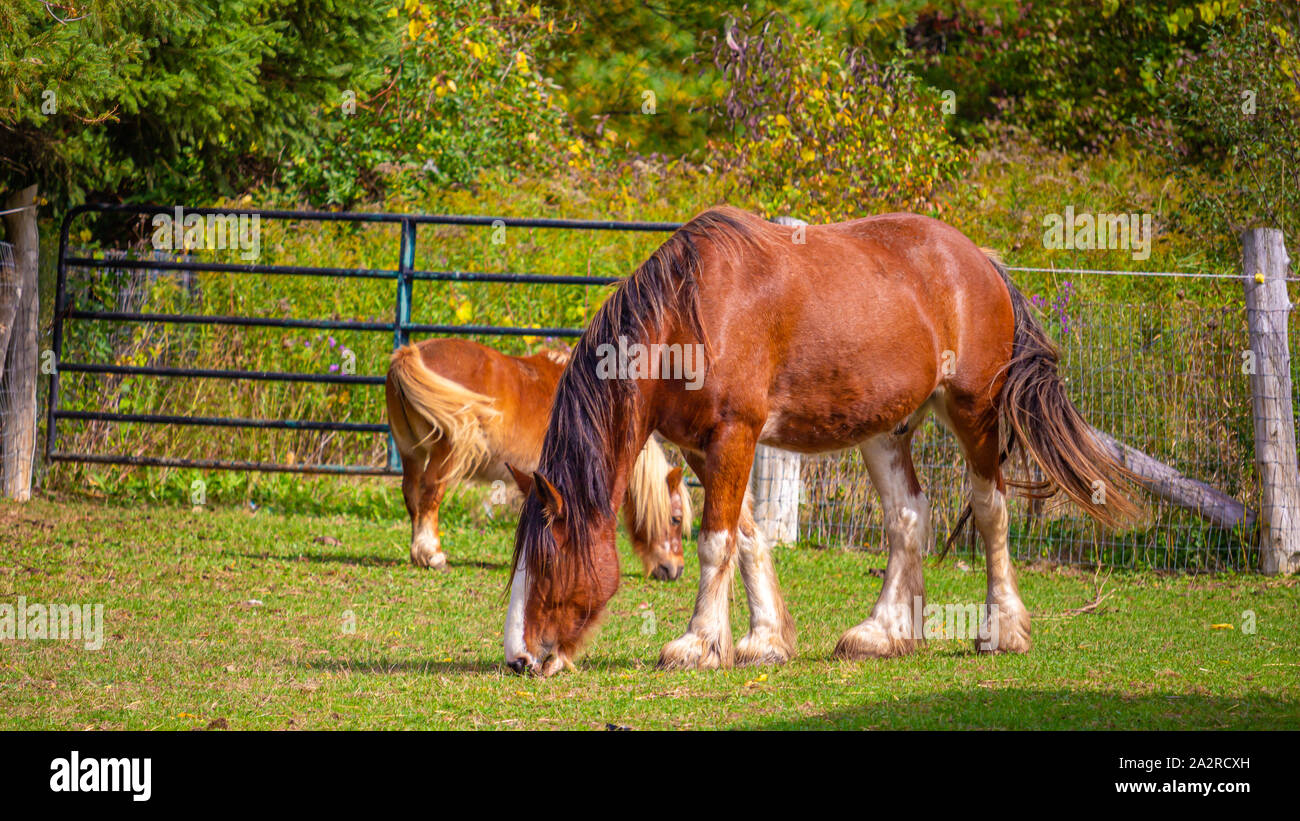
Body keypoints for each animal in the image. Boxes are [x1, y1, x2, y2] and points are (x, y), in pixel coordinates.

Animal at [385, 337, 691, 578]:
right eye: (676, 519)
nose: (675, 570)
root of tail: (408, 355)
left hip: (410, 453)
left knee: (411, 493)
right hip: (444, 454)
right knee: (430, 495)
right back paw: (432, 554)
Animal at [503, 206, 1139, 676]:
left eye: (548, 556)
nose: (519, 658)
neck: (687, 317)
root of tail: (979, 260)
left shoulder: (734, 433)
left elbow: (715, 542)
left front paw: (698, 643)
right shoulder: (704, 446)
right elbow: (747, 536)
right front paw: (764, 640)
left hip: (973, 413)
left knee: (990, 511)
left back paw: (1000, 629)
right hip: (885, 430)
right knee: (908, 517)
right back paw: (883, 633)